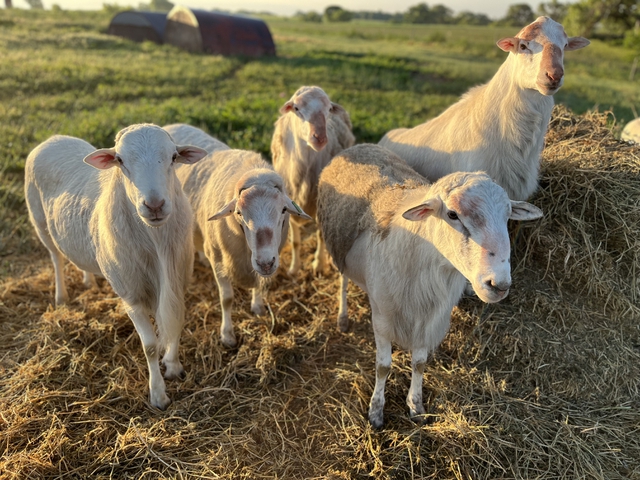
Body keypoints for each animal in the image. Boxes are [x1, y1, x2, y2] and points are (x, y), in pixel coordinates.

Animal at [24, 124, 209, 409]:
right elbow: (150, 346)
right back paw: (61, 296)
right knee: (56, 259)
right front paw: (158, 395)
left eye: (174, 157)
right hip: (40, 223)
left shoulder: (177, 284)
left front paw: (174, 367)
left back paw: (89, 280)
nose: (154, 205)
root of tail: (52, 139)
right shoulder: (131, 296)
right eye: (120, 161)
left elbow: (175, 324)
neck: (155, 242)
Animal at [164, 124, 312, 348]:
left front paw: (258, 308)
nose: (266, 263)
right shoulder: (220, 259)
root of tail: (170, 125)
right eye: (239, 213)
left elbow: (259, 283)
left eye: (284, 210)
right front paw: (227, 336)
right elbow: (227, 299)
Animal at [271, 86, 355, 276]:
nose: (320, 138)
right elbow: (295, 242)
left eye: (329, 109)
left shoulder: (322, 205)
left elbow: (321, 236)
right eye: (296, 108)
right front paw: (294, 268)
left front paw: (319, 264)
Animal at [317, 144, 543, 427]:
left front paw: (416, 406)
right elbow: (383, 367)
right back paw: (343, 317)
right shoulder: (382, 317)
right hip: (338, 247)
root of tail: (358, 146)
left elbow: (420, 363)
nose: (498, 284)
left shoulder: (428, 315)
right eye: (452, 214)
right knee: (343, 280)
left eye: (508, 215)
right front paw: (376, 411)